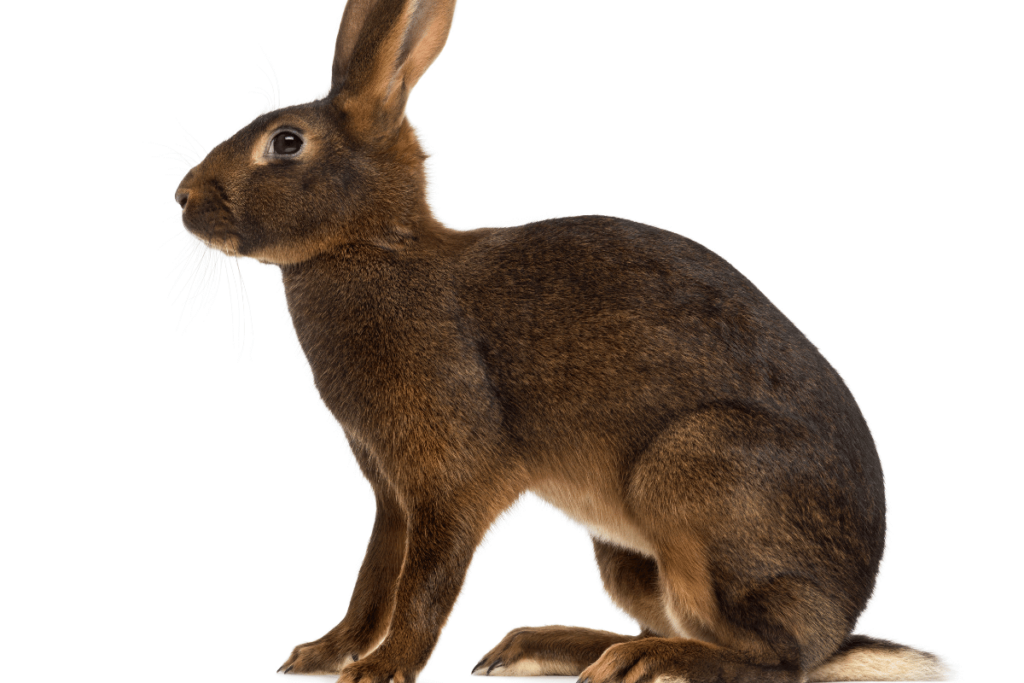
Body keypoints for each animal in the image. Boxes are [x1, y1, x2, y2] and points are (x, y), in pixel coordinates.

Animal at [174, 1, 947, 682]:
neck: (376, 245)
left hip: (696, 479)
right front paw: (322, 652)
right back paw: (549, 646)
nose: (182, 197)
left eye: (286, 142)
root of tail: (841, 622)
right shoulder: (392, 495)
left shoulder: (451, 480)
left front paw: (380, 669)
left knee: (774, 658)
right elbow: (373, 580)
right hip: (627, 554)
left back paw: (644, 662)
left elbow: (424, 586)